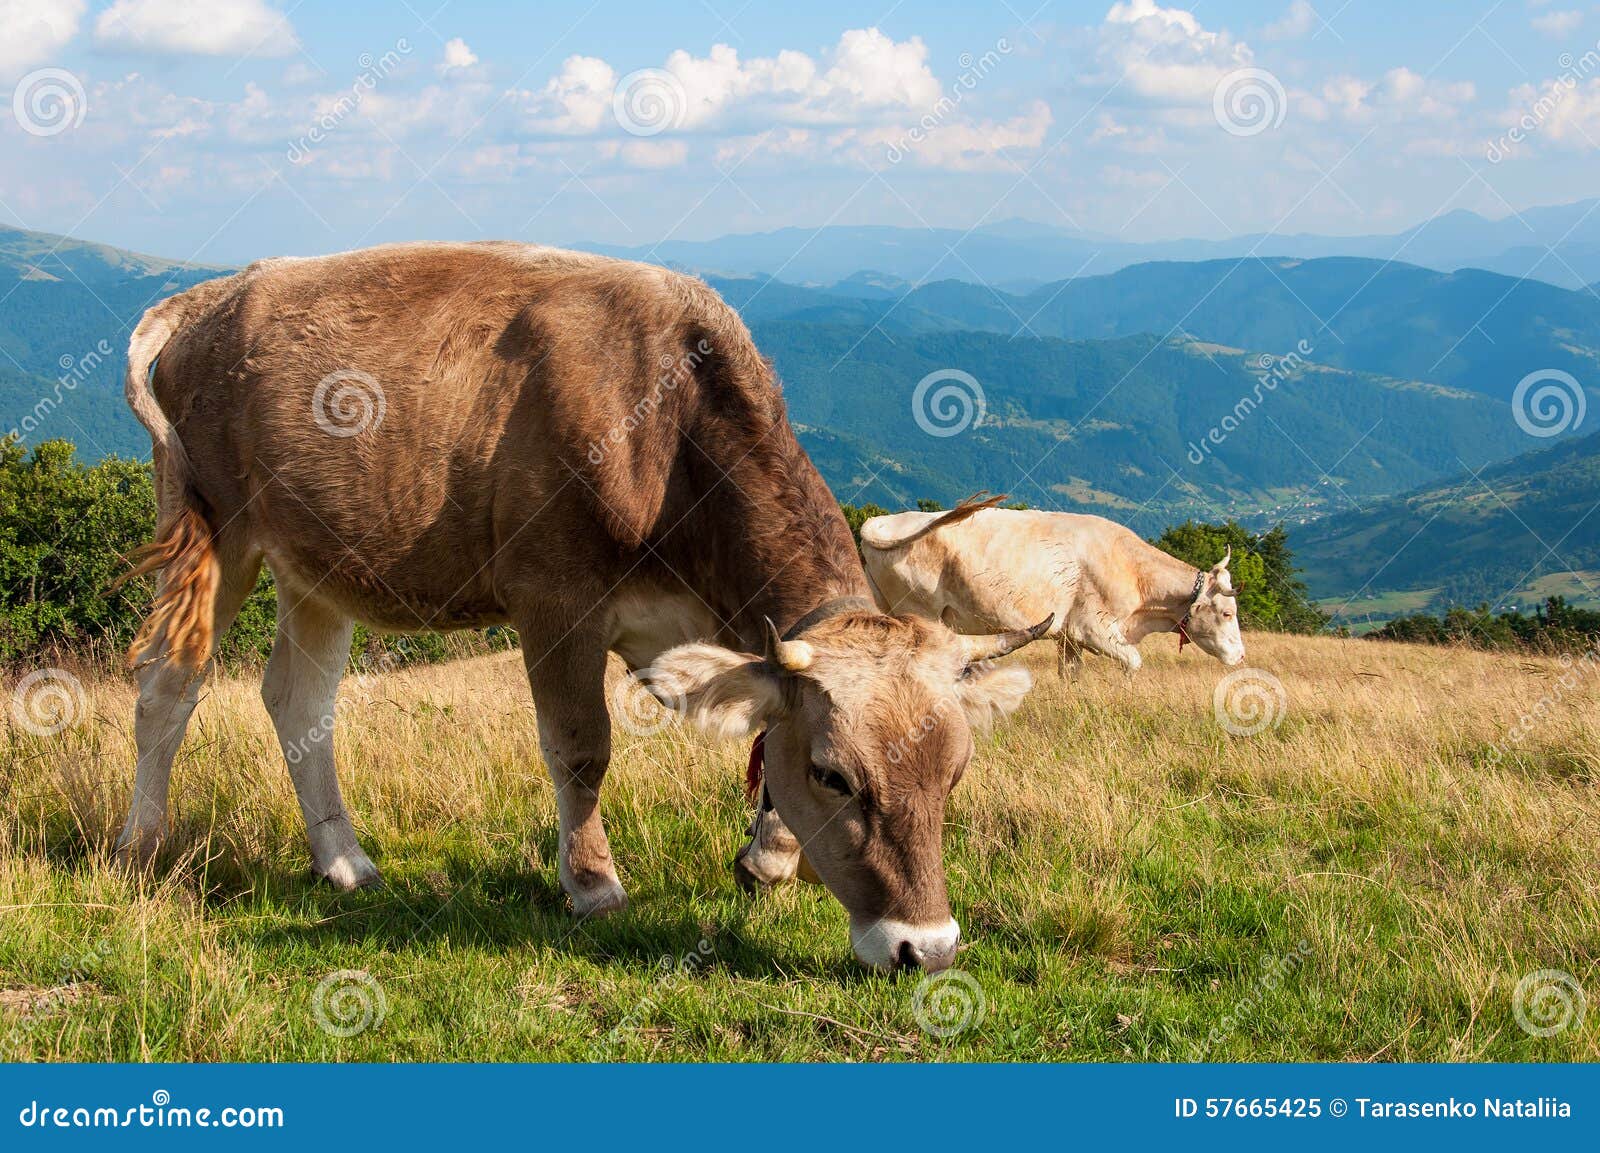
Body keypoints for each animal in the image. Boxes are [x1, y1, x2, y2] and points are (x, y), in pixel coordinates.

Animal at [113, 243, 1052, 972]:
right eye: (834, 774)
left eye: (954, 773)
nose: (925, 947)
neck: (665, 426)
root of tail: (218, 292)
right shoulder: (554, 597)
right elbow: (581, 747)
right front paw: (594, 882)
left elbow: (754, 732)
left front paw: (769, 856)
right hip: (210, 527)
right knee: (169, 684)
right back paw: (138, 849)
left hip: (316, 566)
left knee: (299, 700)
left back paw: (343, 859)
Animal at [857, 495, 1245, 681]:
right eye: (1227, 613)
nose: (1241, 657)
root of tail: (881, 521)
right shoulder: (1094, 628)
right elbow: (1133, 662)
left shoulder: (1069, 637)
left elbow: (1070, 676)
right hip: (920, 612)